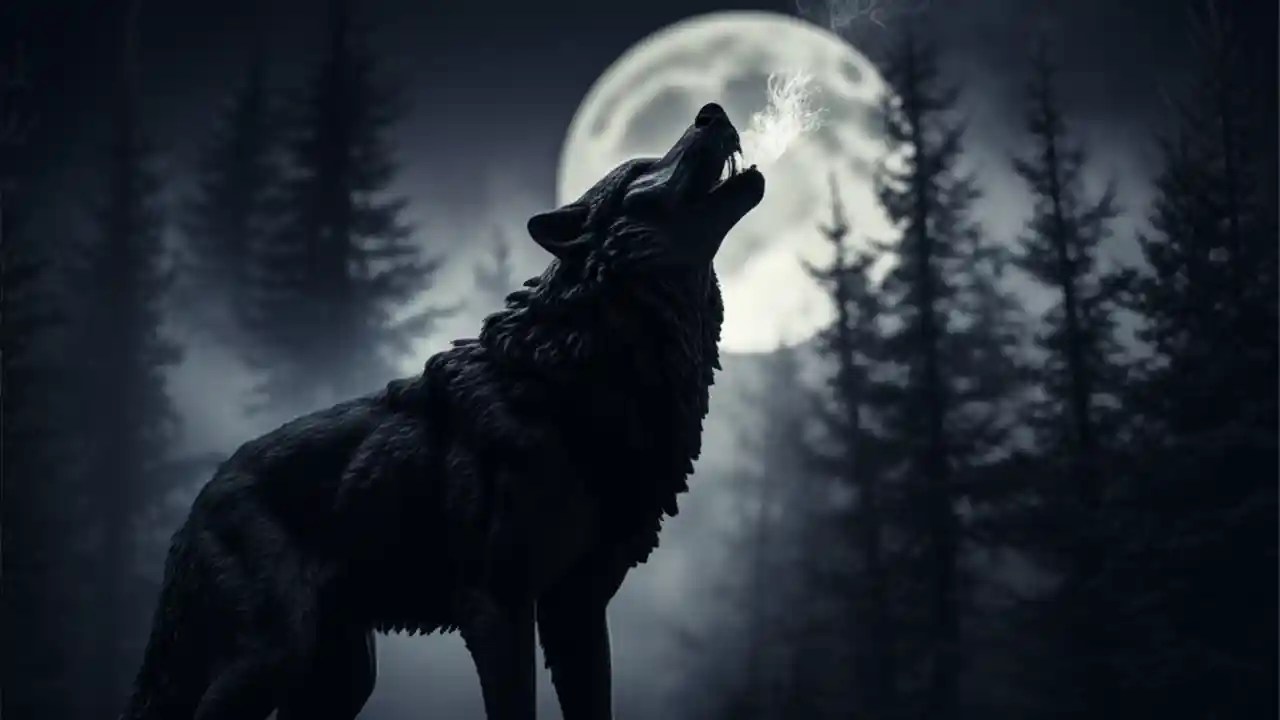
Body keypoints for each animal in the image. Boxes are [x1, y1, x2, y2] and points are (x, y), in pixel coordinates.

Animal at [119, 102, 763, 720]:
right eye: (640, 169)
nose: (712, 109)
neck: (569, 372)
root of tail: (194, 507)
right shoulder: (498, 603)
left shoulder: (577, 608)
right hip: (271, 657)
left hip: (341, 680)